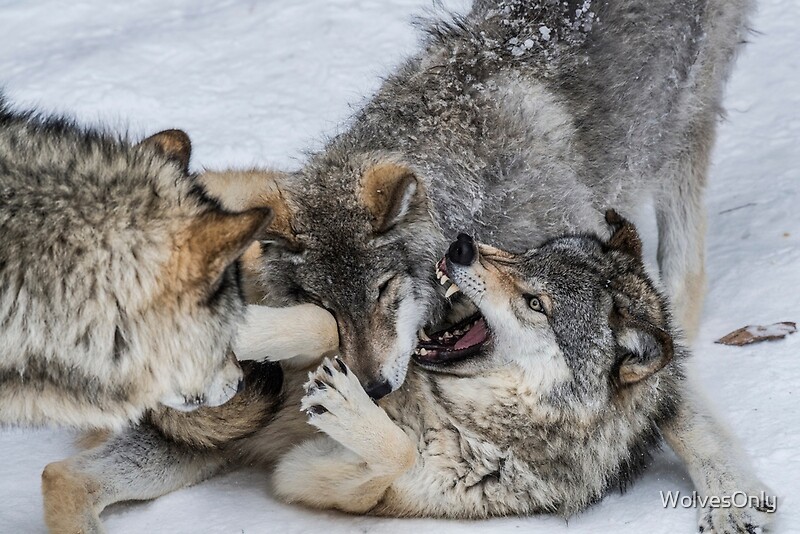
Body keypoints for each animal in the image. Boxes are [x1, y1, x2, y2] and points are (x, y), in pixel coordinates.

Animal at [41, 213, 773, 533]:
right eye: (524, 257)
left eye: (537, 303)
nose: (462, 245)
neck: (451, 410)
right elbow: (321, 324)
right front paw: (247, 329)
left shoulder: (317, 479)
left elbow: (388, 453)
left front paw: (349, 408)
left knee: (61, 477)